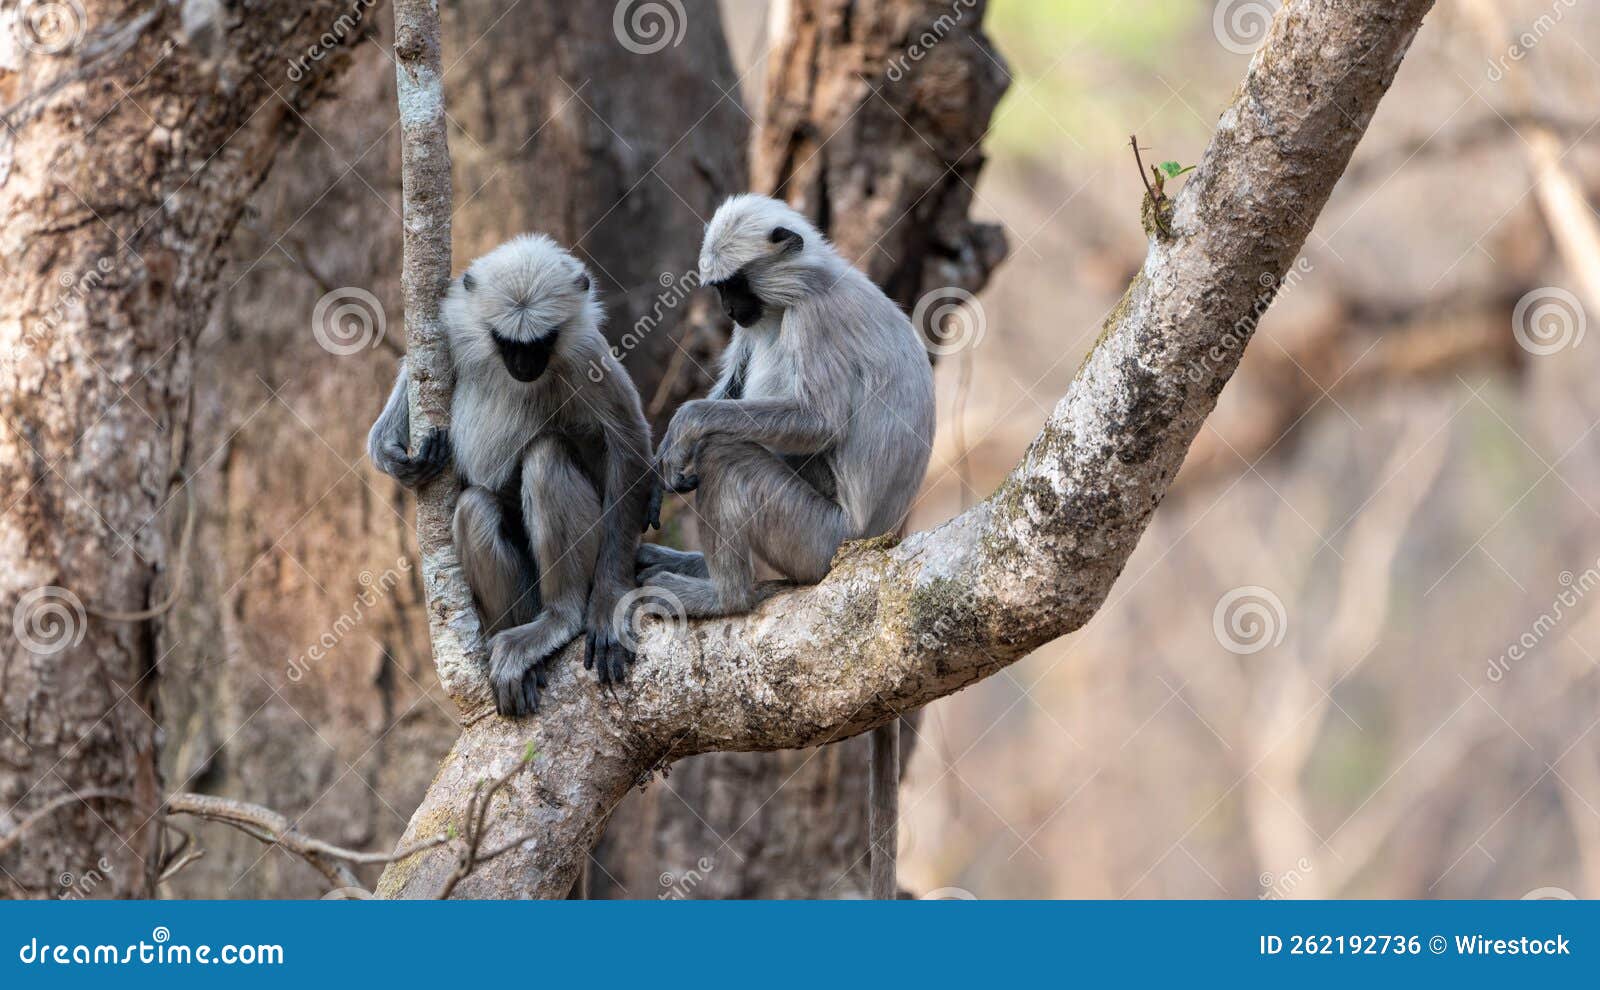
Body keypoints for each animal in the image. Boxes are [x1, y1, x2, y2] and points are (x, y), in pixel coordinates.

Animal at [368, 234, 657, 716]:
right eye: (505, 341)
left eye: (542, 341)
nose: (524, 365)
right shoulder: (454, 330)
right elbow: (417, 367)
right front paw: (388, 451)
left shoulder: (584, 354)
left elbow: (629, 444)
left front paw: (608, 606)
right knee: (475, 509)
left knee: (545, 456)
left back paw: (561, 618)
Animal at [637, 194, 935, 616]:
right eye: (720, 289)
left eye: (736, 285)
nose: (729, 310)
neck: (813, 278)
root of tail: (876, 539)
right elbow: (734, 388)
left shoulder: (815, 313)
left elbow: (821, 423)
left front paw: (685, 426)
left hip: (819, 539)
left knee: (725, 454)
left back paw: (725, 598)